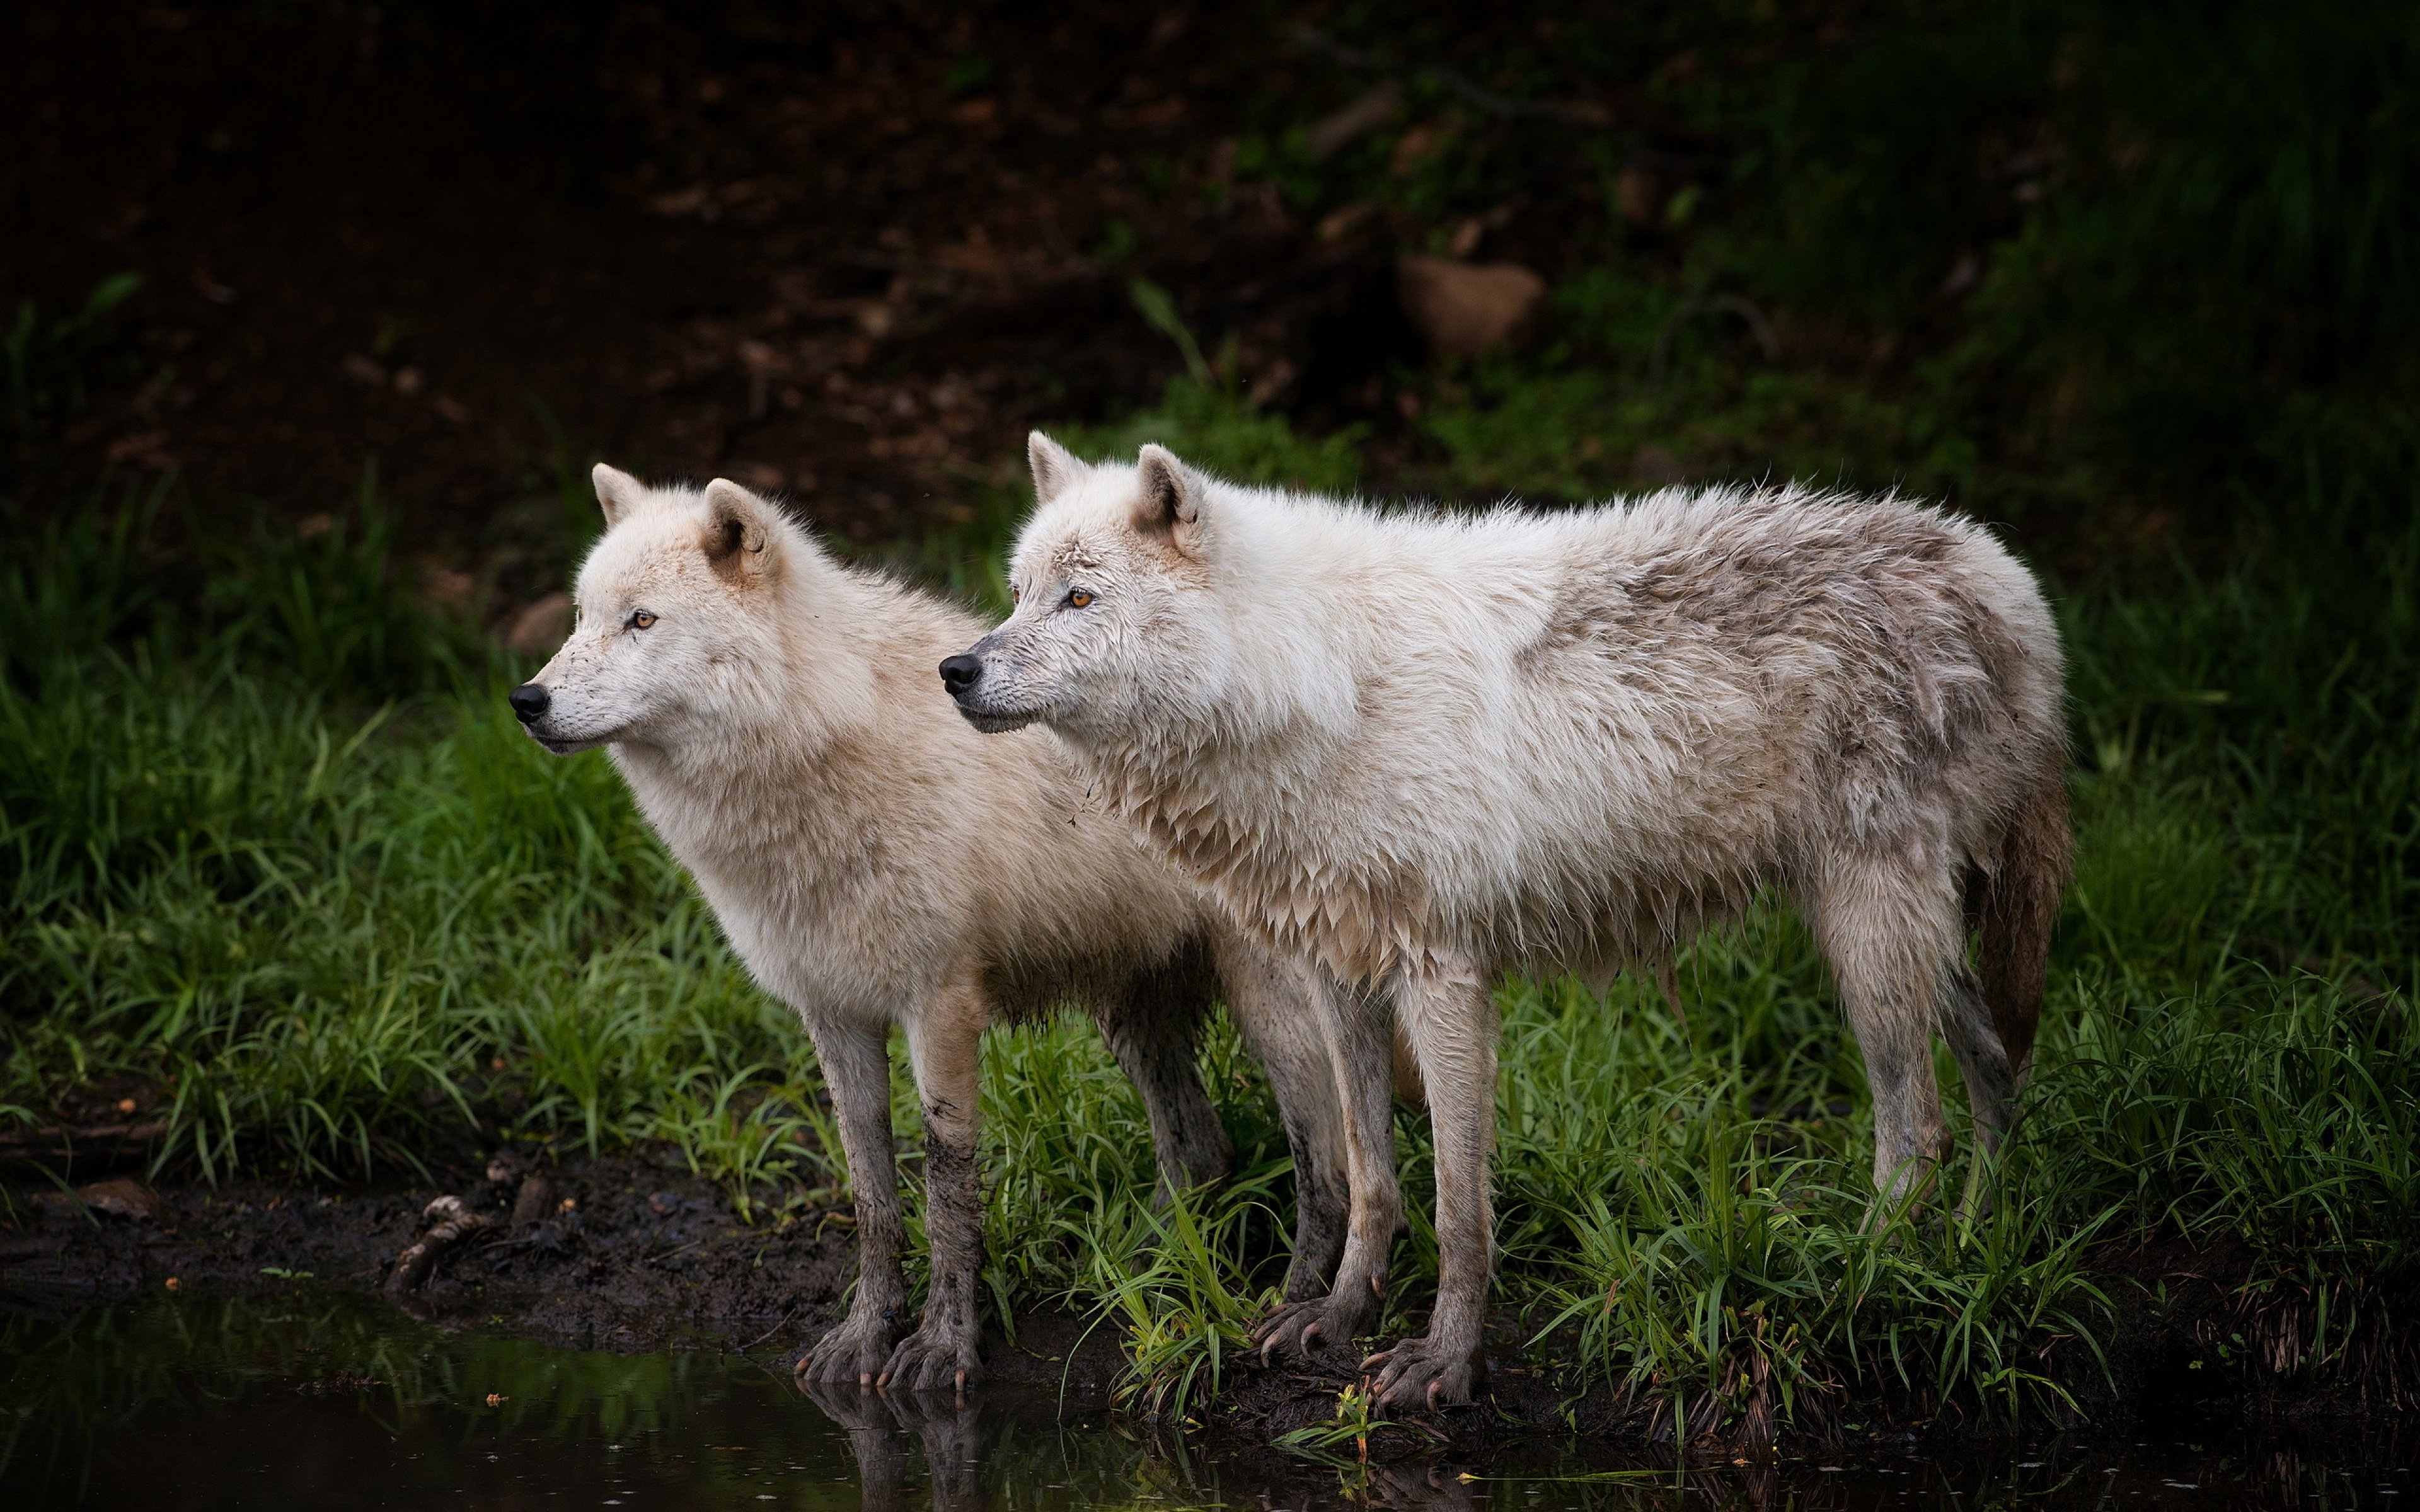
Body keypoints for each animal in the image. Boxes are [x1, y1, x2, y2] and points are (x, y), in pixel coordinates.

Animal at [509, 465, 1350, 1394]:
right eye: (582, 616)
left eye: (642, 620)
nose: (526, 700)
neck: (817, 745)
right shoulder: (833, 1016)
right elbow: (872, 1194)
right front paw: (865, 1335)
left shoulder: (939, 1007)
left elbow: (948, 1189)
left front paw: (945, 1346)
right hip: (1130, 1016)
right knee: (1202, 1151)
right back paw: (1147, 1276)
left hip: (1272, 1014)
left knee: (1327, 1164)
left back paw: (1285, 1303)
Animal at [942, 436, 2070, 1408]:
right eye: (1018, 594)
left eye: (1081, 598)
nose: (958, 670)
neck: (1320, 681)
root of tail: (2007, 581)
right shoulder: (1338, 974)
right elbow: (1371, 1175)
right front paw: (1335, 1318)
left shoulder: (1443, 977)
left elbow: (1458, 1207)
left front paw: (1443, 1365)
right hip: (1907, 935)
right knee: (1995, 1070)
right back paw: (1975, 1255)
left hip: (1864, 936)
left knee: (1915, 1131)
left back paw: (1864, 1279)